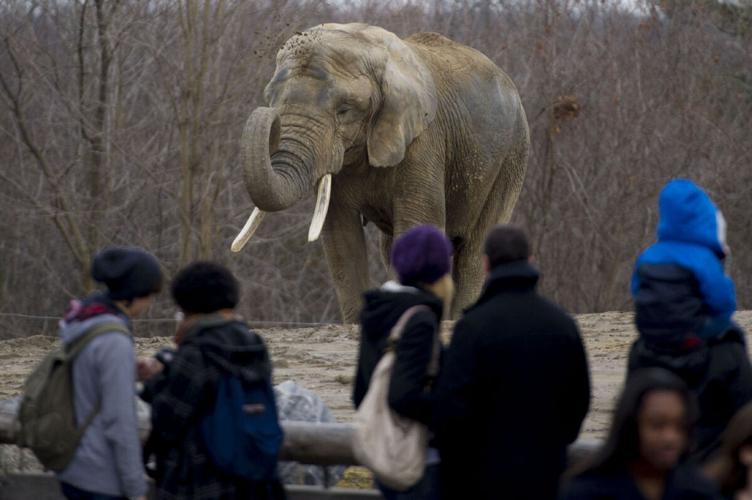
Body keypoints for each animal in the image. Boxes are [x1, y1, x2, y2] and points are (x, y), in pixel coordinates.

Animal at [232, 23, 529, 323]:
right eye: (271, 98)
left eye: (344, 110)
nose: (269, 116)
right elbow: (342, 237)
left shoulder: (424, 141)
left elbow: (416, 226)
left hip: (513, 155)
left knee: (474, 252)